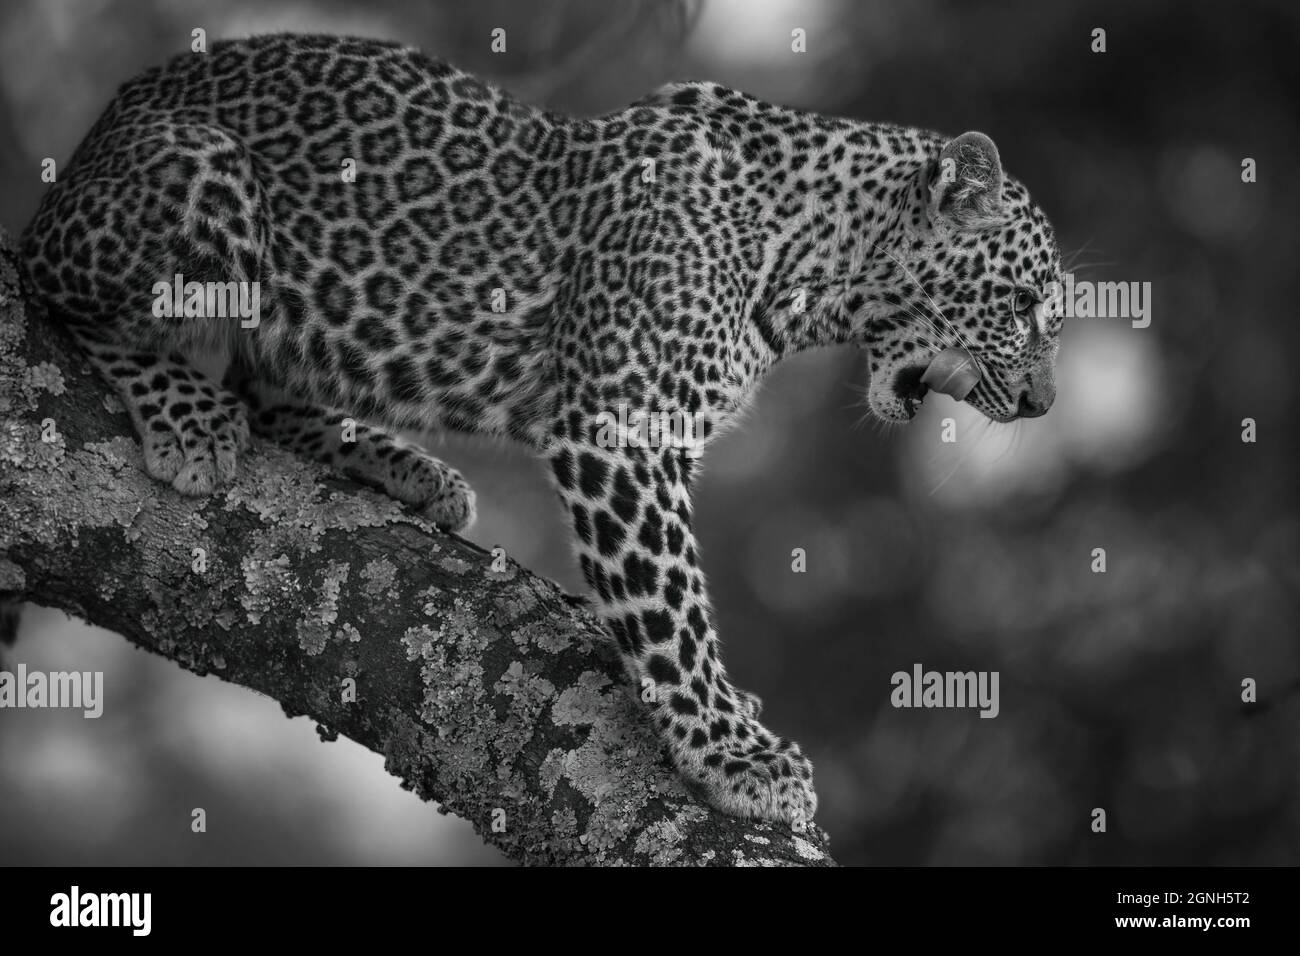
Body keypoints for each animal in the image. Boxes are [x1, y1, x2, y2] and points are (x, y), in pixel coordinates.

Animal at [20, 33, 1063, 827]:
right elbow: (671, 605)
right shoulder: (622, 427)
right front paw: (733, 753)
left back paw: (404, 468)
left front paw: (730, 725)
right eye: (1025, 308)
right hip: (205, 171)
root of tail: (89, 144)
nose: (1046, 405)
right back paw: (191, 418)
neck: (815, 260)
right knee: (61, 296)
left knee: (267, 386)